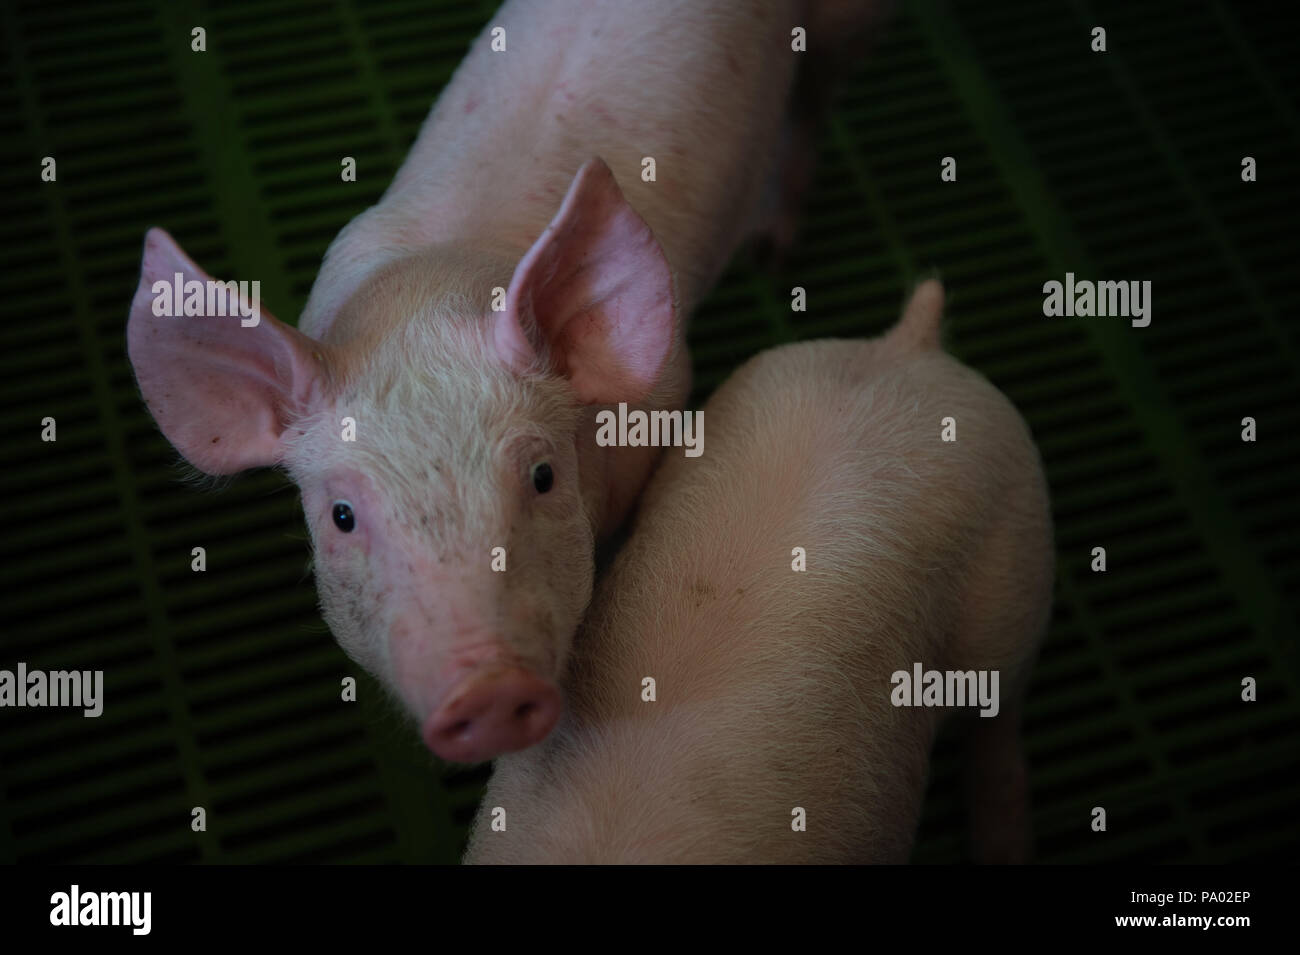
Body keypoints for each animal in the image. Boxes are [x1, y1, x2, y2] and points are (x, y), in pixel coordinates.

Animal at [125, 0, 888, 762]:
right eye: (341, 516)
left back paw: (771, 251)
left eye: (543, 477)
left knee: (814, 102)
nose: (489, 690)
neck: (427, 297)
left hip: (841, 28)